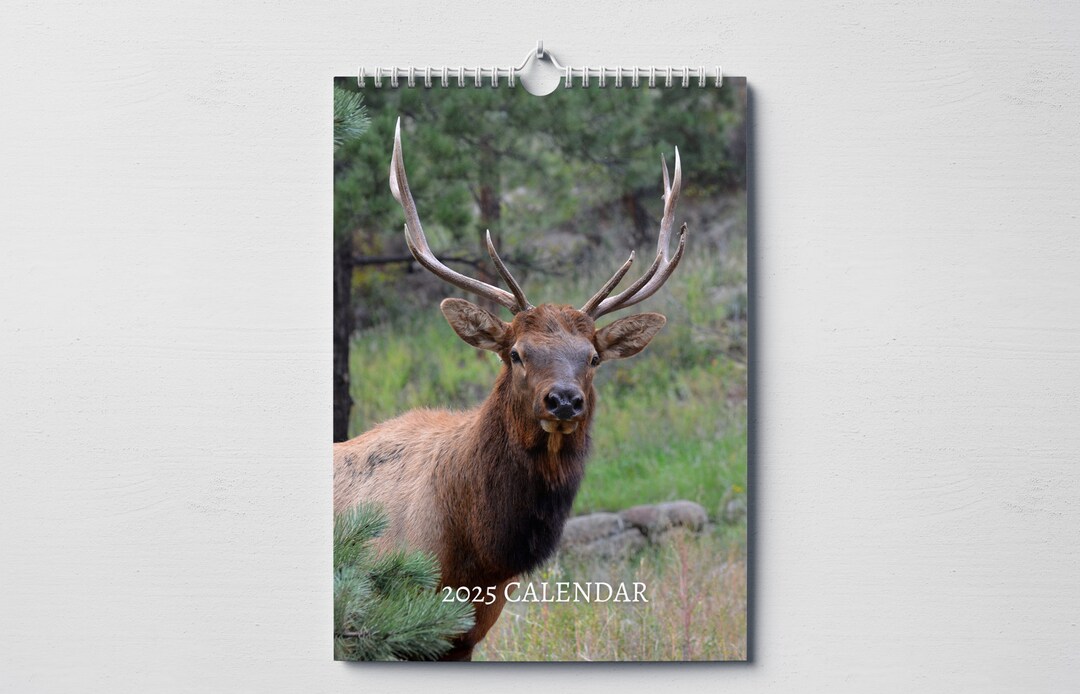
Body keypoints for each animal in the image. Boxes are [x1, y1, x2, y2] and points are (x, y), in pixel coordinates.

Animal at [334, 119, 687, 661]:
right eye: (516, 353)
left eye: (593, 358)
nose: (564, 399)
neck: (470, 554)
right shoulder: (372, 624)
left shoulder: (465, 635)